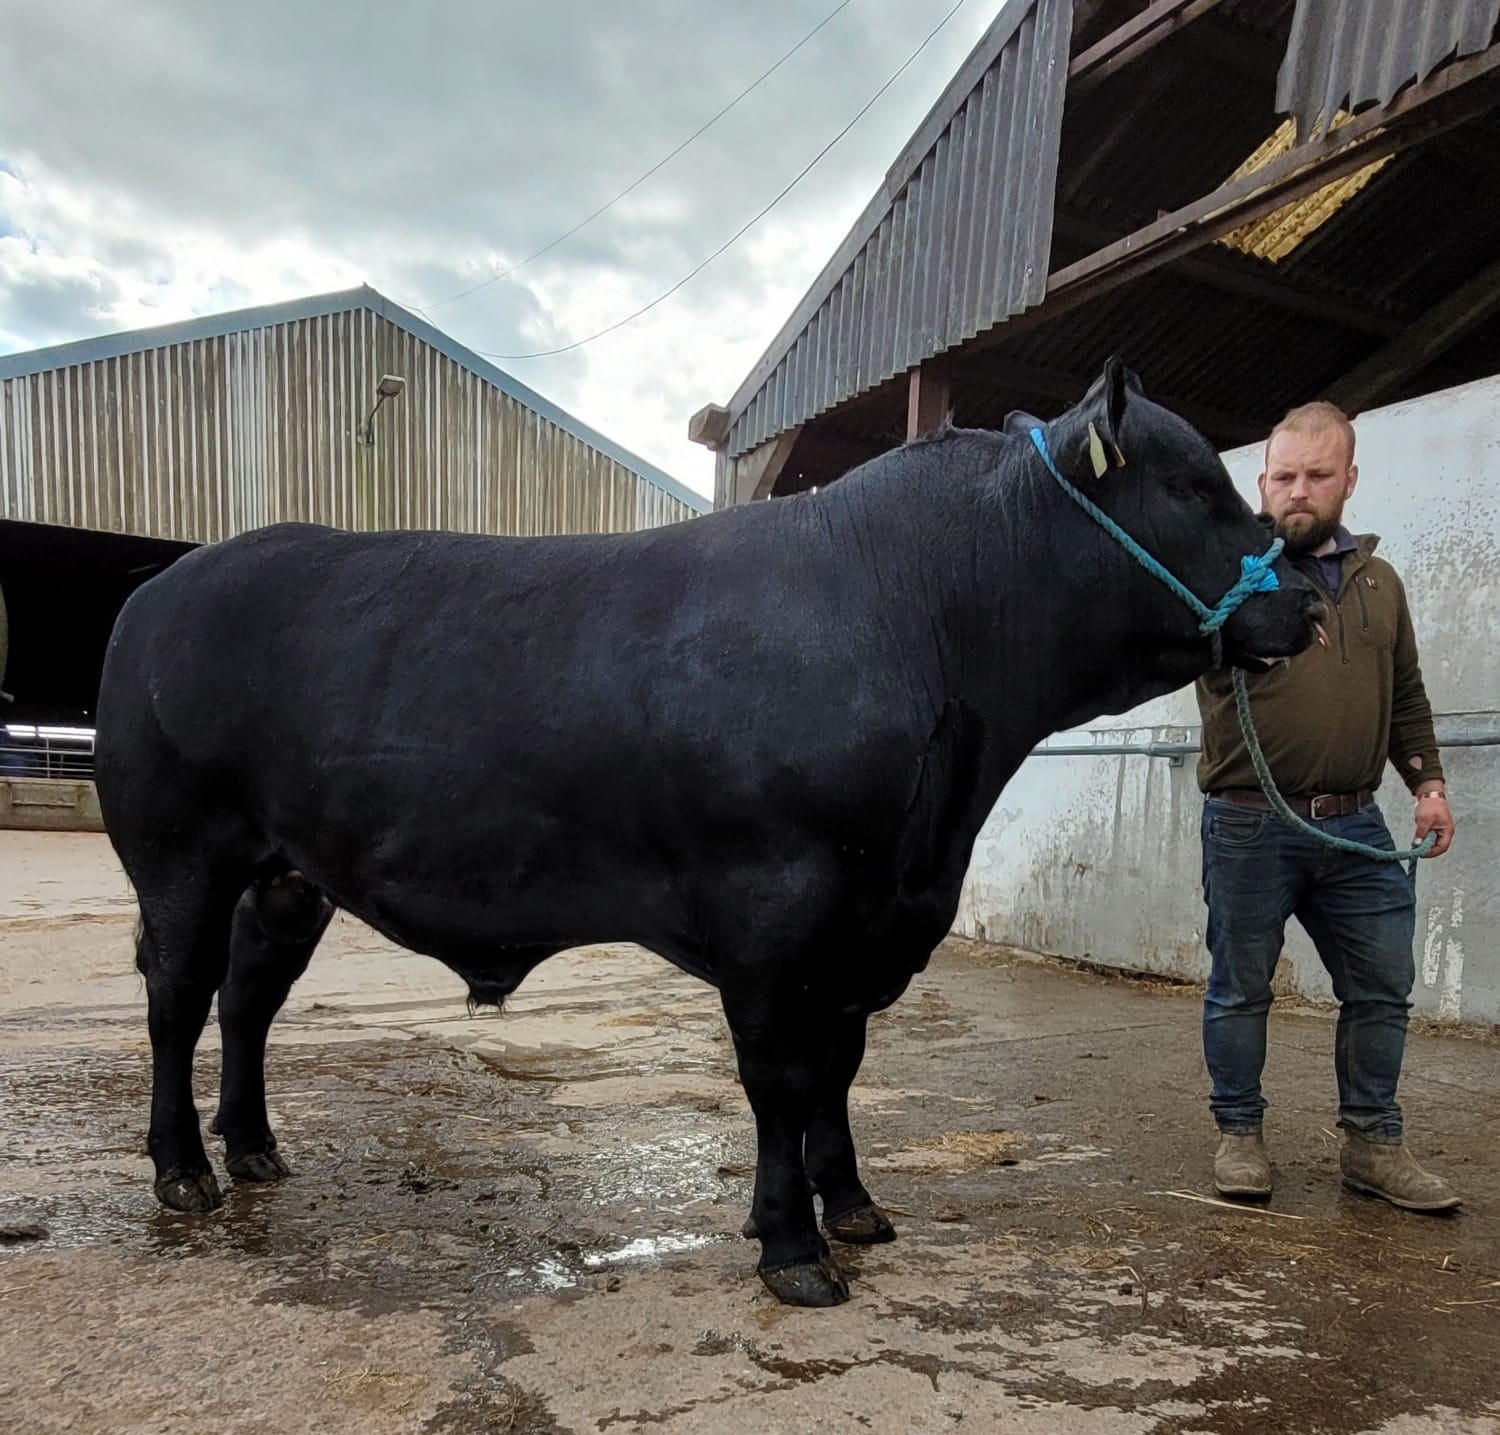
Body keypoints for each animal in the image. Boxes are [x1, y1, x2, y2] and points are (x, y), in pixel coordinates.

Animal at [93, 359, 1321, 1307]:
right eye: (1193, 482)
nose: (1309, 594)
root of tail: (164, 584)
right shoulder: (775, 905)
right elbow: (781, 1075)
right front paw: (792, 1247)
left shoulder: (866, 918)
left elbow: (838, 1068)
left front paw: (853, 1203)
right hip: (179, 856)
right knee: (177, 999)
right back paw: (184, 1170)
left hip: (285, 874)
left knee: (249, 997)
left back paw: (254, 1148)